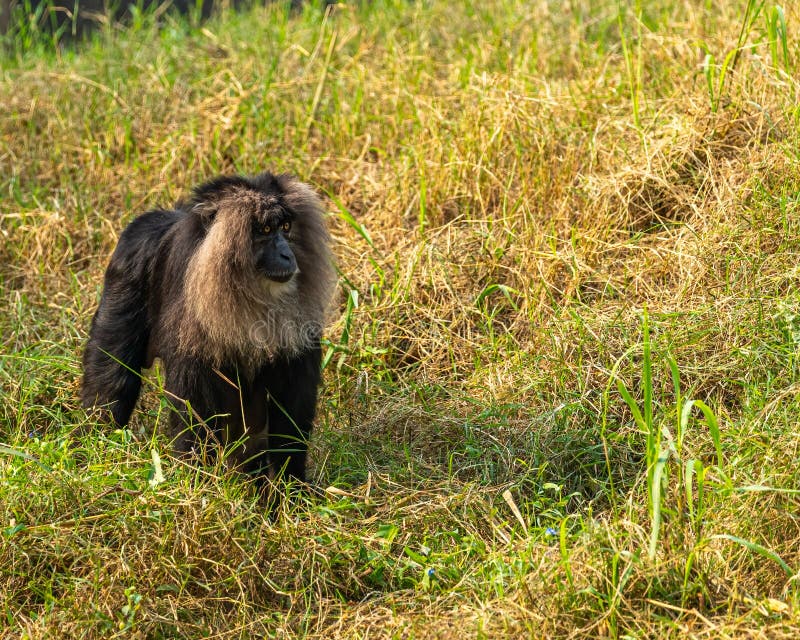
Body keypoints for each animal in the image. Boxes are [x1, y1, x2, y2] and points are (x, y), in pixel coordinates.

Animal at [81, 172, 336, 487]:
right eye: (265, 229)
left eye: (286, 227)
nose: (289, 256)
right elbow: (193, 406)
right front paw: (197, 482)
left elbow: (292, 404)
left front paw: (290, 487)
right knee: (112, 373)